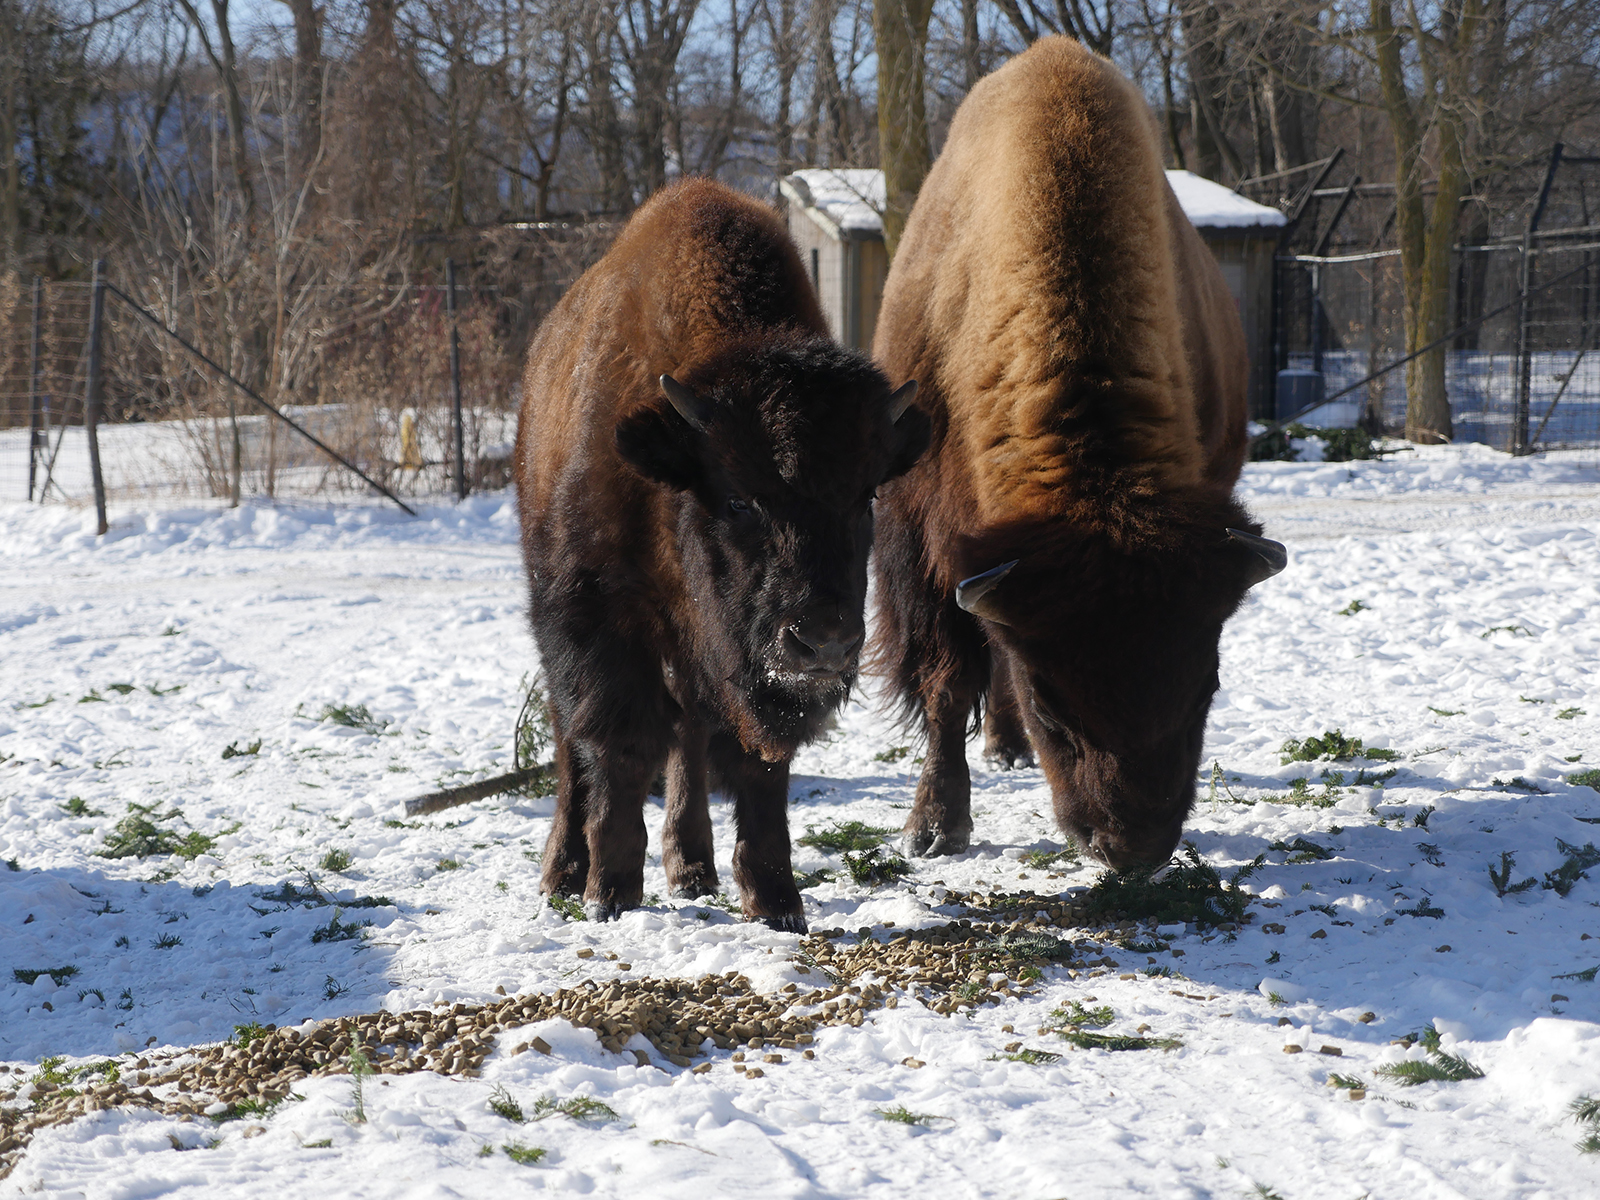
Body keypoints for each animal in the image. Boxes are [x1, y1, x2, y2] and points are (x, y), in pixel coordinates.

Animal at [515, 178, 929, 929]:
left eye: (864, 498)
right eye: (738, 500)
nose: (824, 641)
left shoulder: (750, 672)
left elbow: (757, 766)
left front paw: (777, 902)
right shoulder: (599, 620)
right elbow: (620, 745)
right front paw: (609, 892)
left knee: (688, 731)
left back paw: (692, 868)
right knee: (572, 740)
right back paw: (564, 871)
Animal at [870, 38, 1285, 870]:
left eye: (1206, 687)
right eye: (1052, 703)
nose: (1132, 847)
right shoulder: (923, 537)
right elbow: (947, 678)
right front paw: (933, 828)